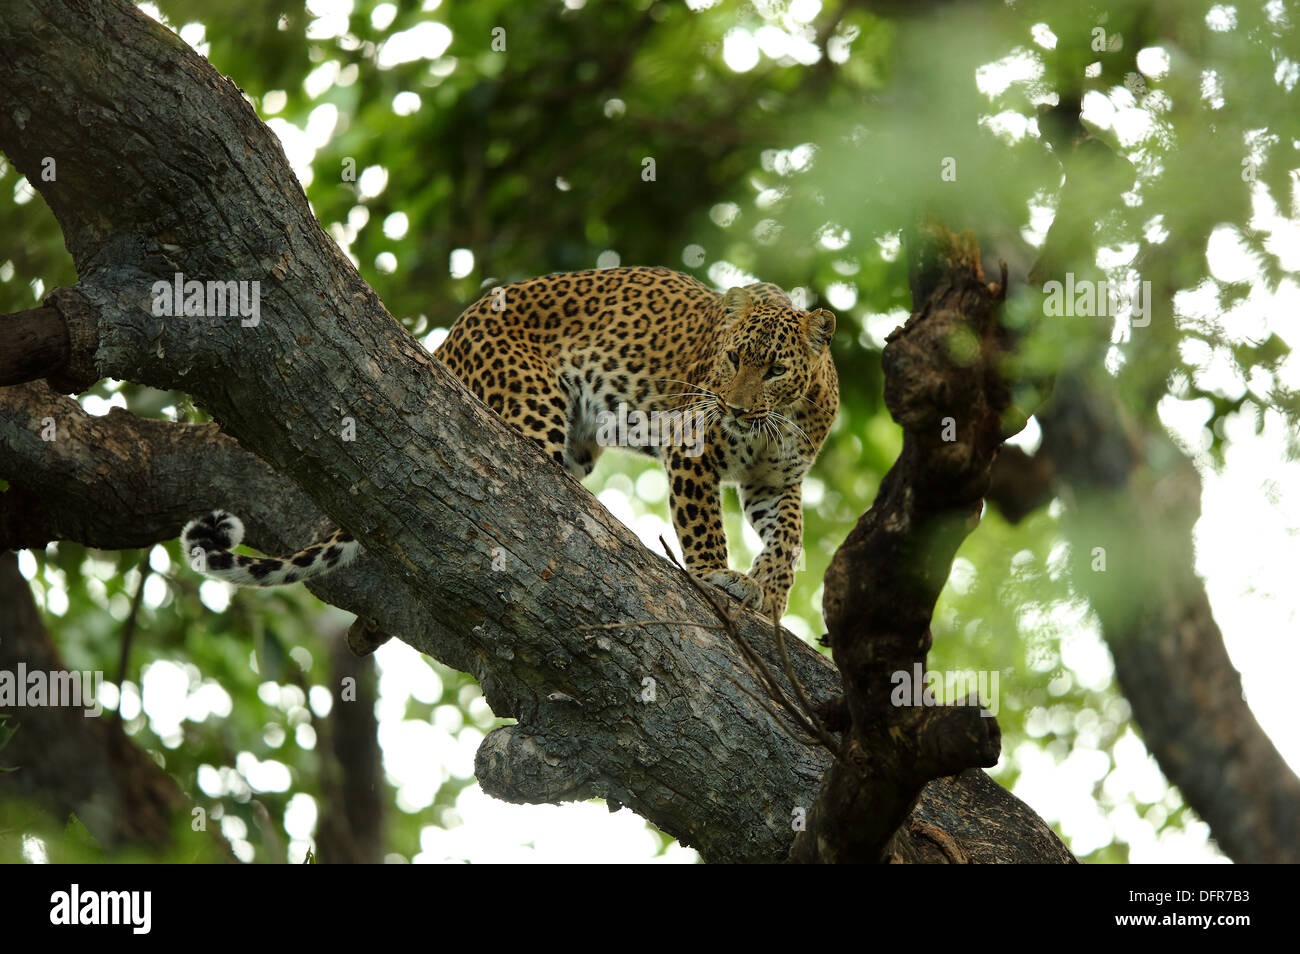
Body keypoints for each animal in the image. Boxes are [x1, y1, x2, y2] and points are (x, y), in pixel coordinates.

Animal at [182, 266, 839, 617]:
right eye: (731, 359)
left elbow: (788, 538)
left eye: (774, 369)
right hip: (532, 409)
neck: (777, 421)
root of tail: (448, 338)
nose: (735, 407)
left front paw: (771, 595)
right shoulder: (692, 449)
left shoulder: (776, 484)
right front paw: (714, 576)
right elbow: (703, 526)